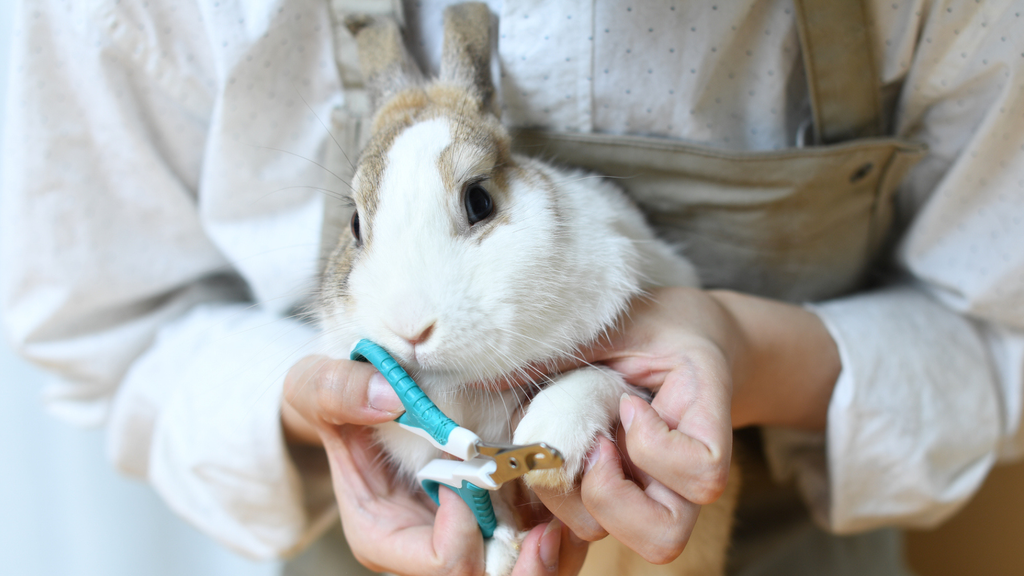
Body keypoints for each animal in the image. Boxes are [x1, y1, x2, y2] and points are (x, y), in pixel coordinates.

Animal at [317, 4, 738, 575]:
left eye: (479, 201)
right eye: (356, 224)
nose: (410, 330)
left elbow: (605, 380)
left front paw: (554, 432)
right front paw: (501, 553)